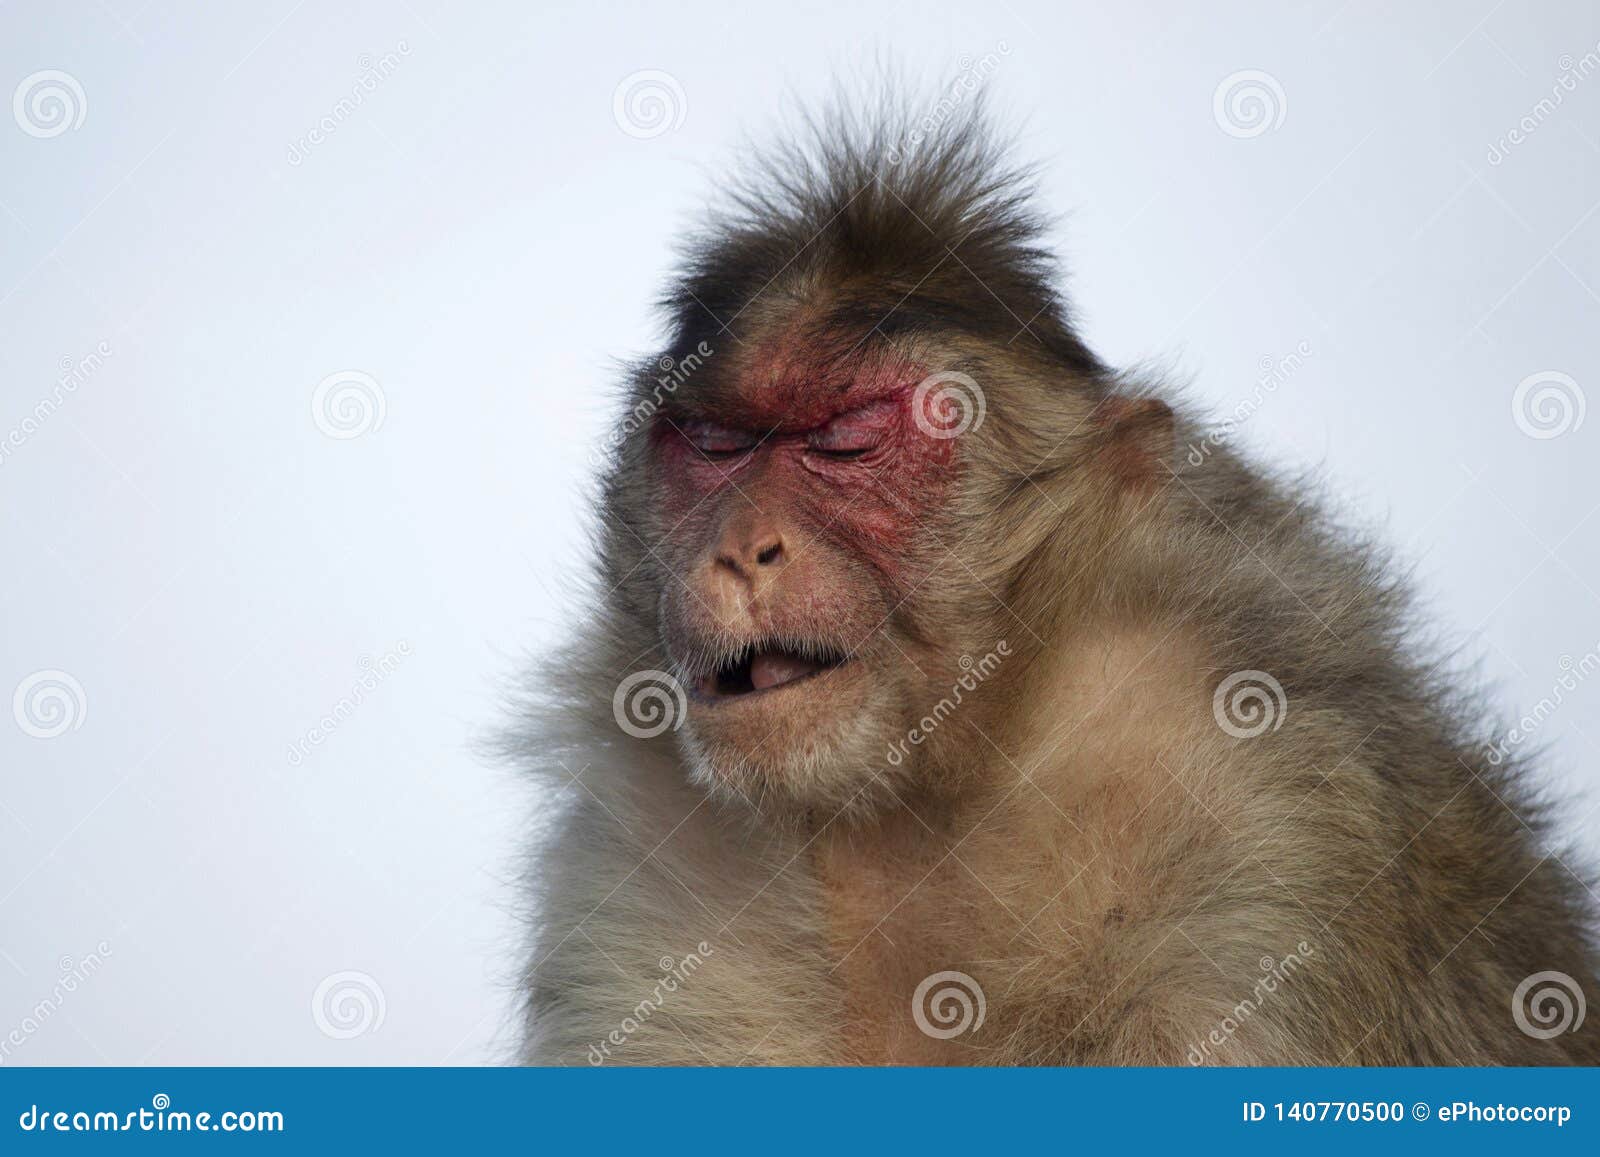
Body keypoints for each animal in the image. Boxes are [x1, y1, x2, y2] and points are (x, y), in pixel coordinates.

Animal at [507, 99, 1599, 1066]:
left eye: (847, 441)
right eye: (714, 446)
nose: (744, 549)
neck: (922, 797)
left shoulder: (1272, 833)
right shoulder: (634, 890)